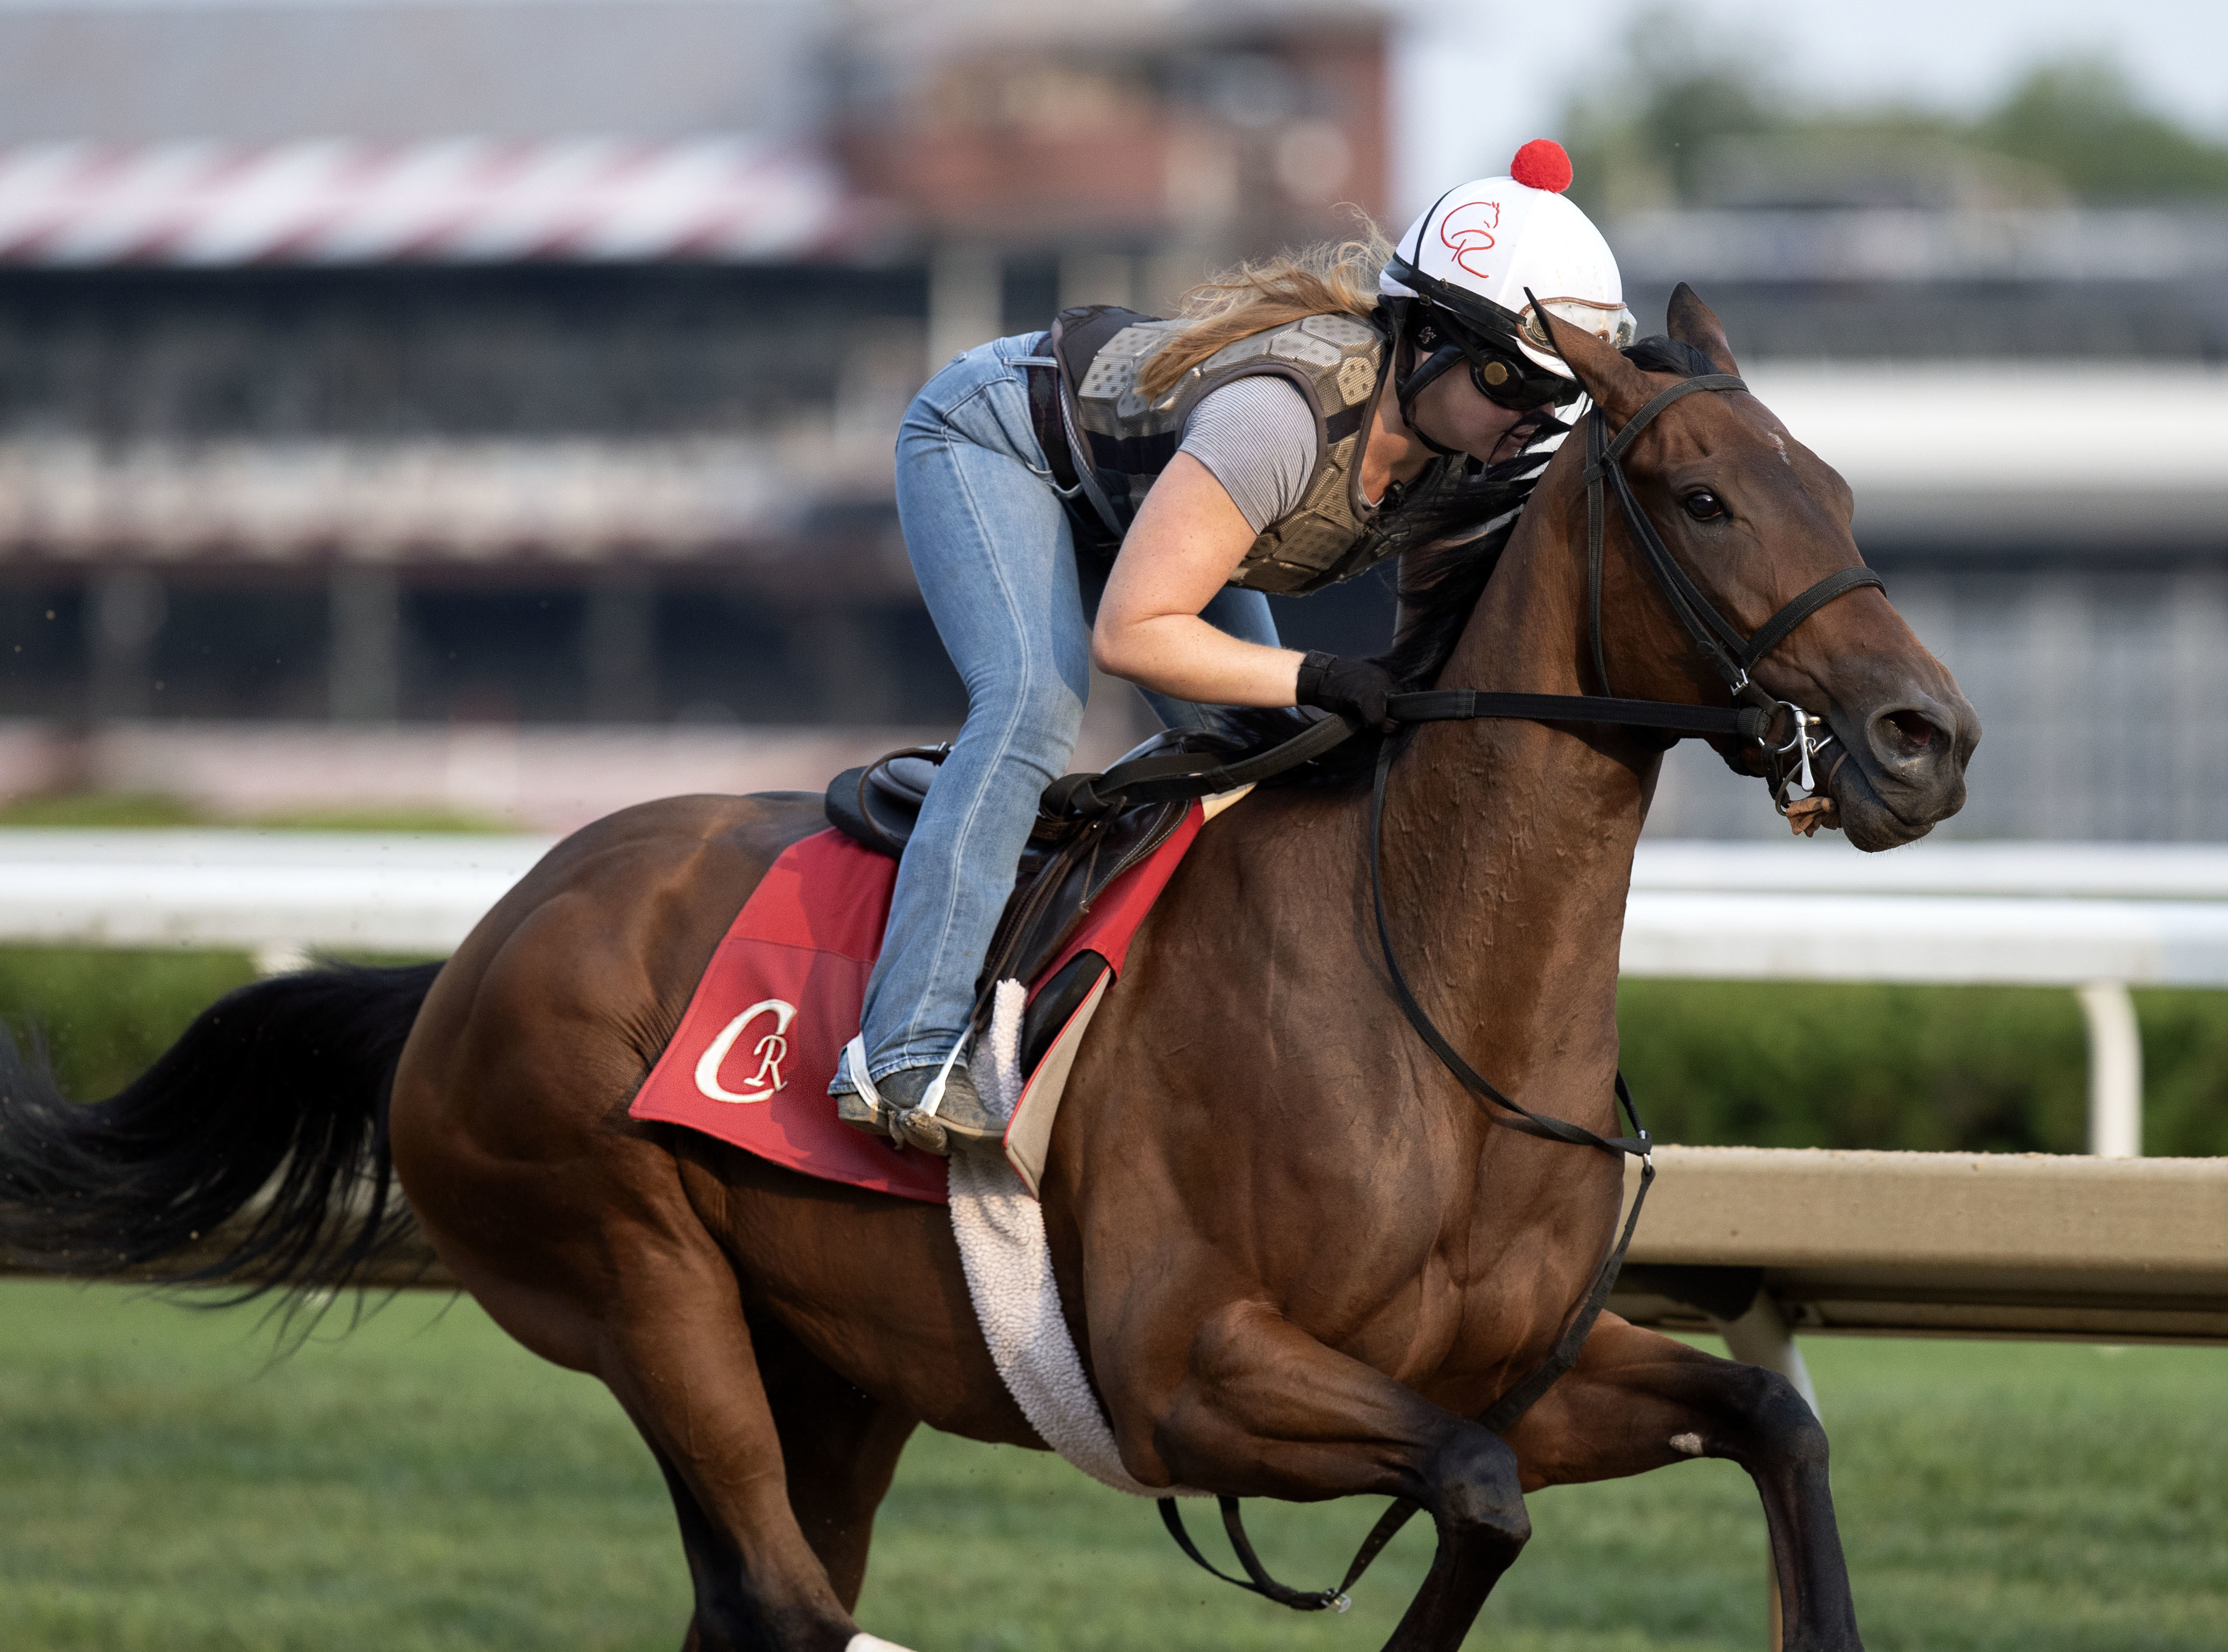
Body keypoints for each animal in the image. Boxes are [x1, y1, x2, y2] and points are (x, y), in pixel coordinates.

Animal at [0, 287, 1977, 1652]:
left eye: (1836, 485)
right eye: (1704, 497)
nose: (1926, 737)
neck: (1424, 988)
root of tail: (475, 946)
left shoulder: (1511, 1366)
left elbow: (1765, 1421)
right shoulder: (1186, 1369)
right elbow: (1482, 1499)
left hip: (835, 1368)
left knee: (754, 1595)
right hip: (640, 1282)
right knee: (787, 1603)